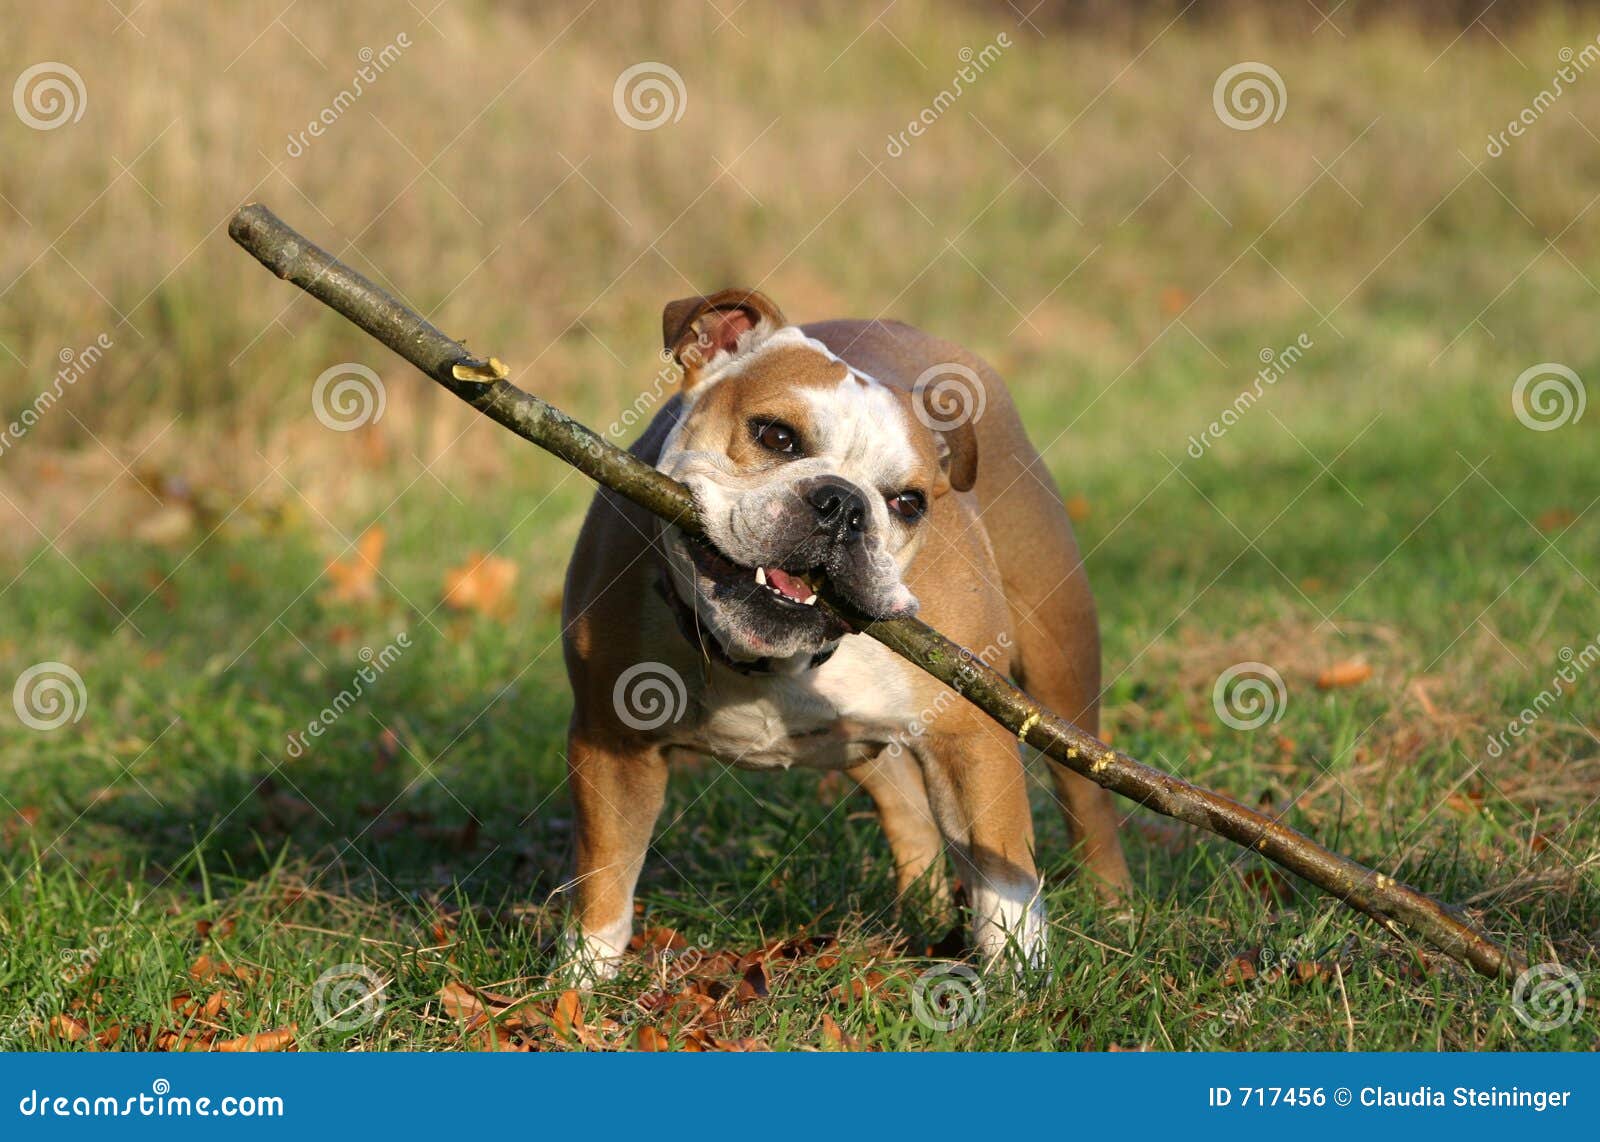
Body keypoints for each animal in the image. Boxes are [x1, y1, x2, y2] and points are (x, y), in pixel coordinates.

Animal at [560, 289, 1126, 972]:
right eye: (775, 435)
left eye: (909, 503)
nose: (843, 506)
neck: (766, 660)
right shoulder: (612, 743)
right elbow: (606, 881)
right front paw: (580, 983)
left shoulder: (972, 736)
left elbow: (1006, 880)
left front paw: (1021, 979)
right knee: (907, 807)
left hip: (1058, 660)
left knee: (1087, 796)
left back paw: (1115, 909)